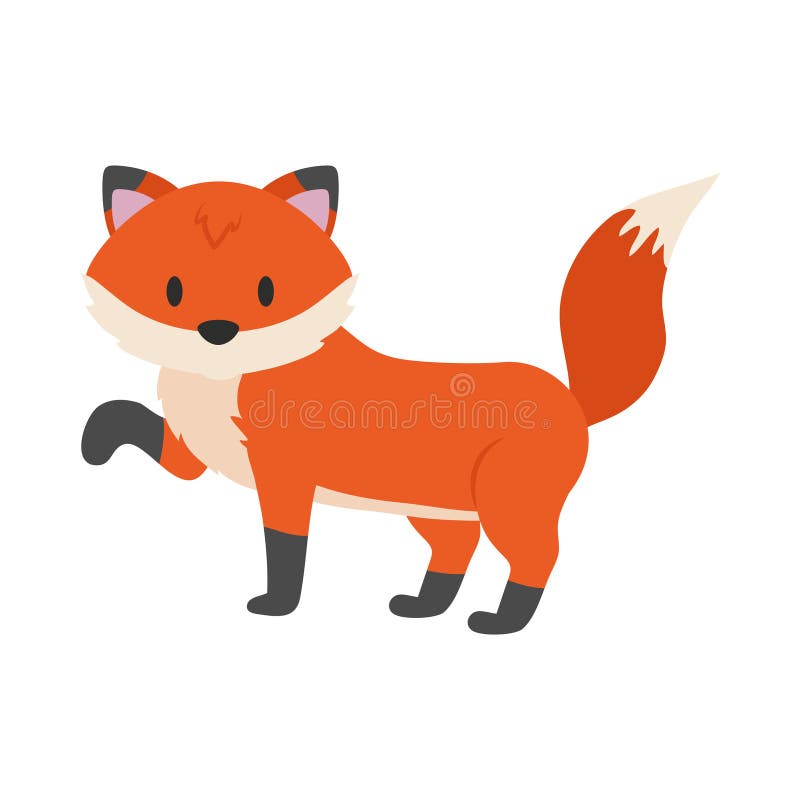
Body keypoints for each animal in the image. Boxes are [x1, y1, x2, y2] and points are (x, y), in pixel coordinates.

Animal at [81, 165, 715, 634]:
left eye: (266, 289)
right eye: (172, 288)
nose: (217, 331)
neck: (218, 384)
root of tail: (570, 396)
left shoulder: (283, 476)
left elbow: (285, 551)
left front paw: (278, 606)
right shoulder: (193, 454)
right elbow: (128, 420)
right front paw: (95, 443)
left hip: (508, 505)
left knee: (538, 558)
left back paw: (501, 622)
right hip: (433, 511)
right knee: (456, 553)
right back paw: (424, 607)